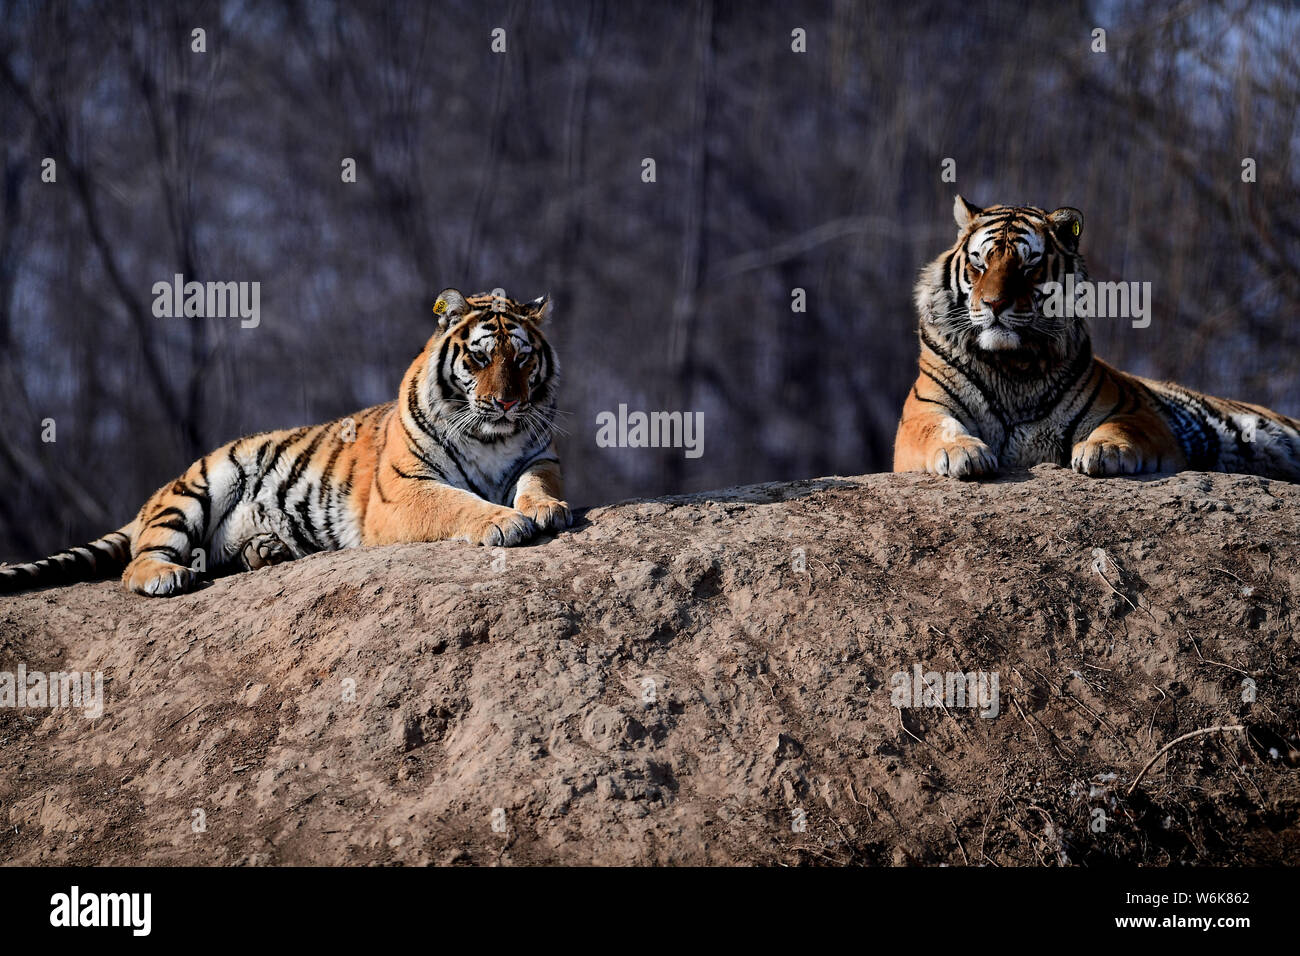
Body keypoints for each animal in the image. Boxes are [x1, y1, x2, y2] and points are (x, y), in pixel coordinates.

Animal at [0, 288, 571, 597]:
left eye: (522, 359)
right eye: (479, 357)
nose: (507, 404)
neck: (489, 436)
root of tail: (152, 499)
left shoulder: (540, 457)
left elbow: (537, 485)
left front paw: (546, 510)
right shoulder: (403, 492)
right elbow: (457, 502)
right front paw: (502, 522)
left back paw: (267, 550)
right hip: (197, 490)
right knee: (139, 560)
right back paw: (167, 576)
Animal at [894, 195, 1300, 482]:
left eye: (1029, 264)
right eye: (979, 262)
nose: (994, 303)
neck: (1012, 365)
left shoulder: (1134, 412)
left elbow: (1118, 428)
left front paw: (1103, 451)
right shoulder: (922, 411)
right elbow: (938, 428)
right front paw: (964, 453)